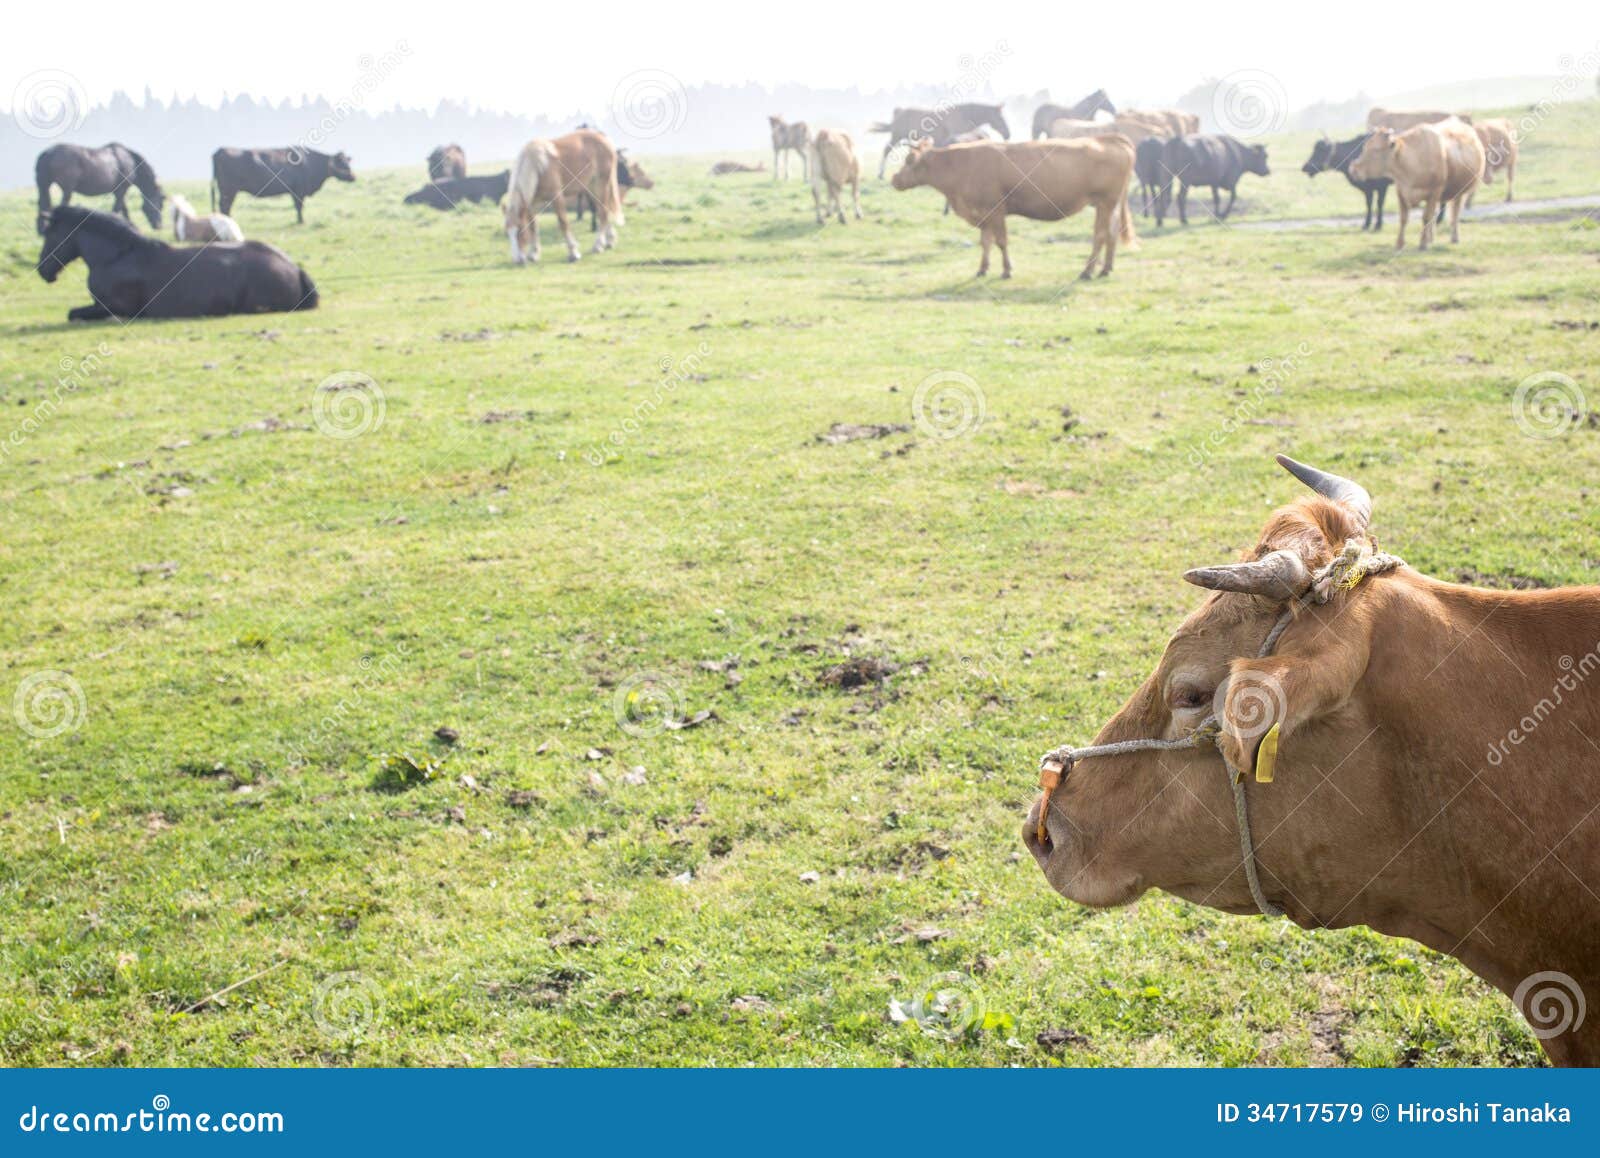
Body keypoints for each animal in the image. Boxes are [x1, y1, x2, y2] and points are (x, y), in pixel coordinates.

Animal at [211, 147, 354, 222]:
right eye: (342, 163)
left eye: (348, 162)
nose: (354, 177)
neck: (310, 162)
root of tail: (220, 150)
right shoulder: (298, 190)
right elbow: (299, 206)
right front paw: (301, 221)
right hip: (228, 190)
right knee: (225, 206)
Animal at [503, 129, 623, 264]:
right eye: (507, 232)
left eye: (519, 231)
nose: (517, 260)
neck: (537, 167)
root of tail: (602, 137)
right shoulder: (532, 204)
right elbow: (533, 227)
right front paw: (533, 254)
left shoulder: (557, 197)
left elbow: (563, 223)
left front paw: (573, 253)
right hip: (590, 188)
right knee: (602, 210)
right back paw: (609, 241)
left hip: (601, 184)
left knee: (602, 213)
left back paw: (598, 246)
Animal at [871, 103, 1011, 178]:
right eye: (1000, 118)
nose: (1008, 134)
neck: (963, 115)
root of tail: (899, 111)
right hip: (897, 136)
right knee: (886, 150)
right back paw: (880, 174)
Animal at [890, 136, 1136, 280]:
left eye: (909, 159)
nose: (894, 179)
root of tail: (1110, 138)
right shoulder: (983, 212)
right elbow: (985, 241)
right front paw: (982, 269)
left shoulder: (995, 209)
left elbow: (1001, 241)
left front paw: (1007, 270)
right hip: (1110, 204)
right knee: (1112, 233)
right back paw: (1106, 268)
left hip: (1105, 202)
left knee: (1100, 235)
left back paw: (1087, 271)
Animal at [1350, 117, 1484, 250]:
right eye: (1365, 146)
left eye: (1376, 150)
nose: (1353, 168)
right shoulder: (1401, 192)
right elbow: (1403, 219)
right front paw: (1400, 243)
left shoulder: (1434, 191)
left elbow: (1426, 217)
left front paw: (1423, 244)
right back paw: (1431, 238)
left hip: (1459, 193)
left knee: (1455, 214)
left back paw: (1453, 238)